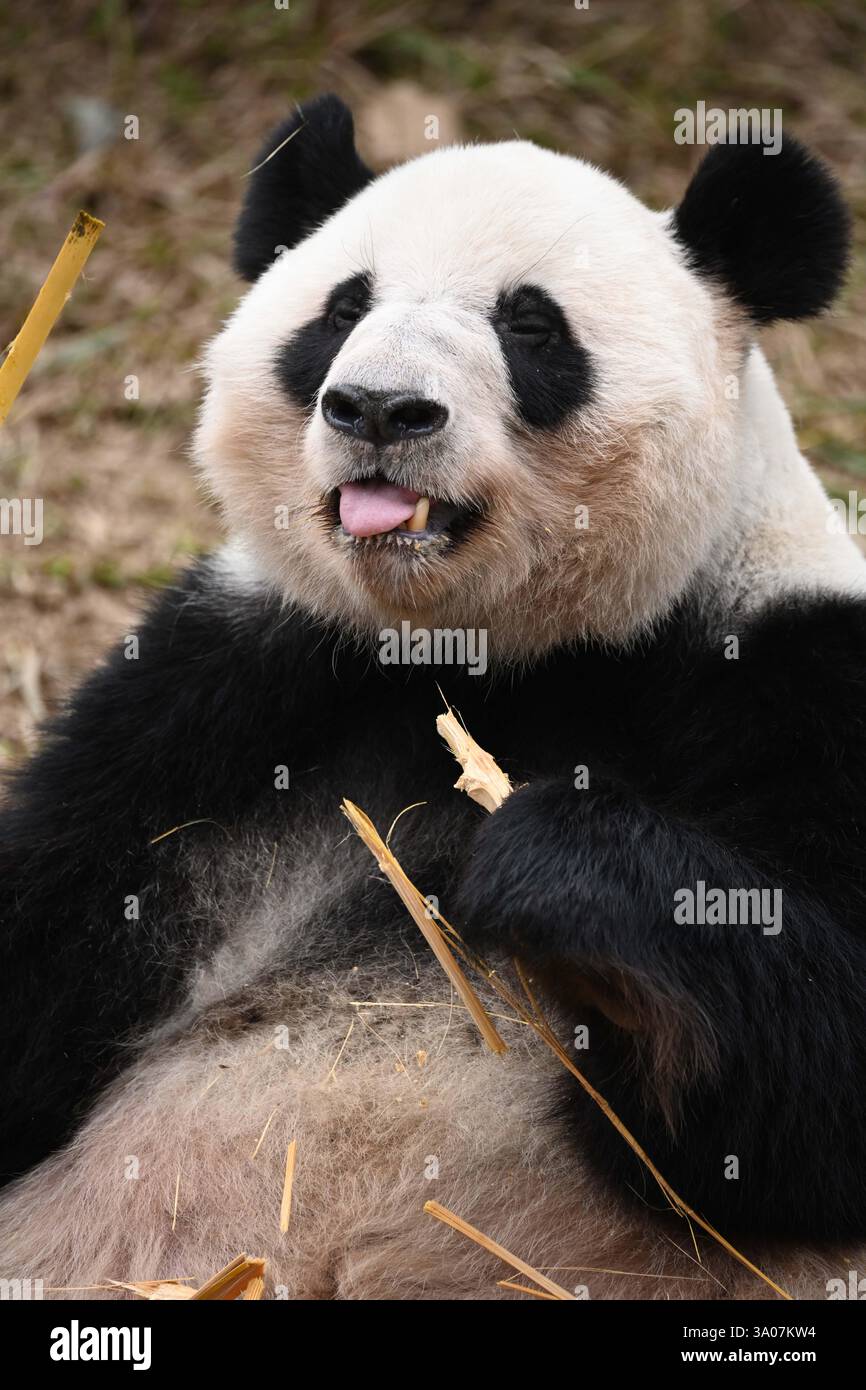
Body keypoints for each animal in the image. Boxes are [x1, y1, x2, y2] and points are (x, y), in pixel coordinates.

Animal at [1, 94, 865, 1302]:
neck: (488, 653)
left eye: (531, 325)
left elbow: (806, 1098)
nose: (376, 409)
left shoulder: (792, 673)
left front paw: (556, 868)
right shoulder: (222, 691)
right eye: (341, 308)